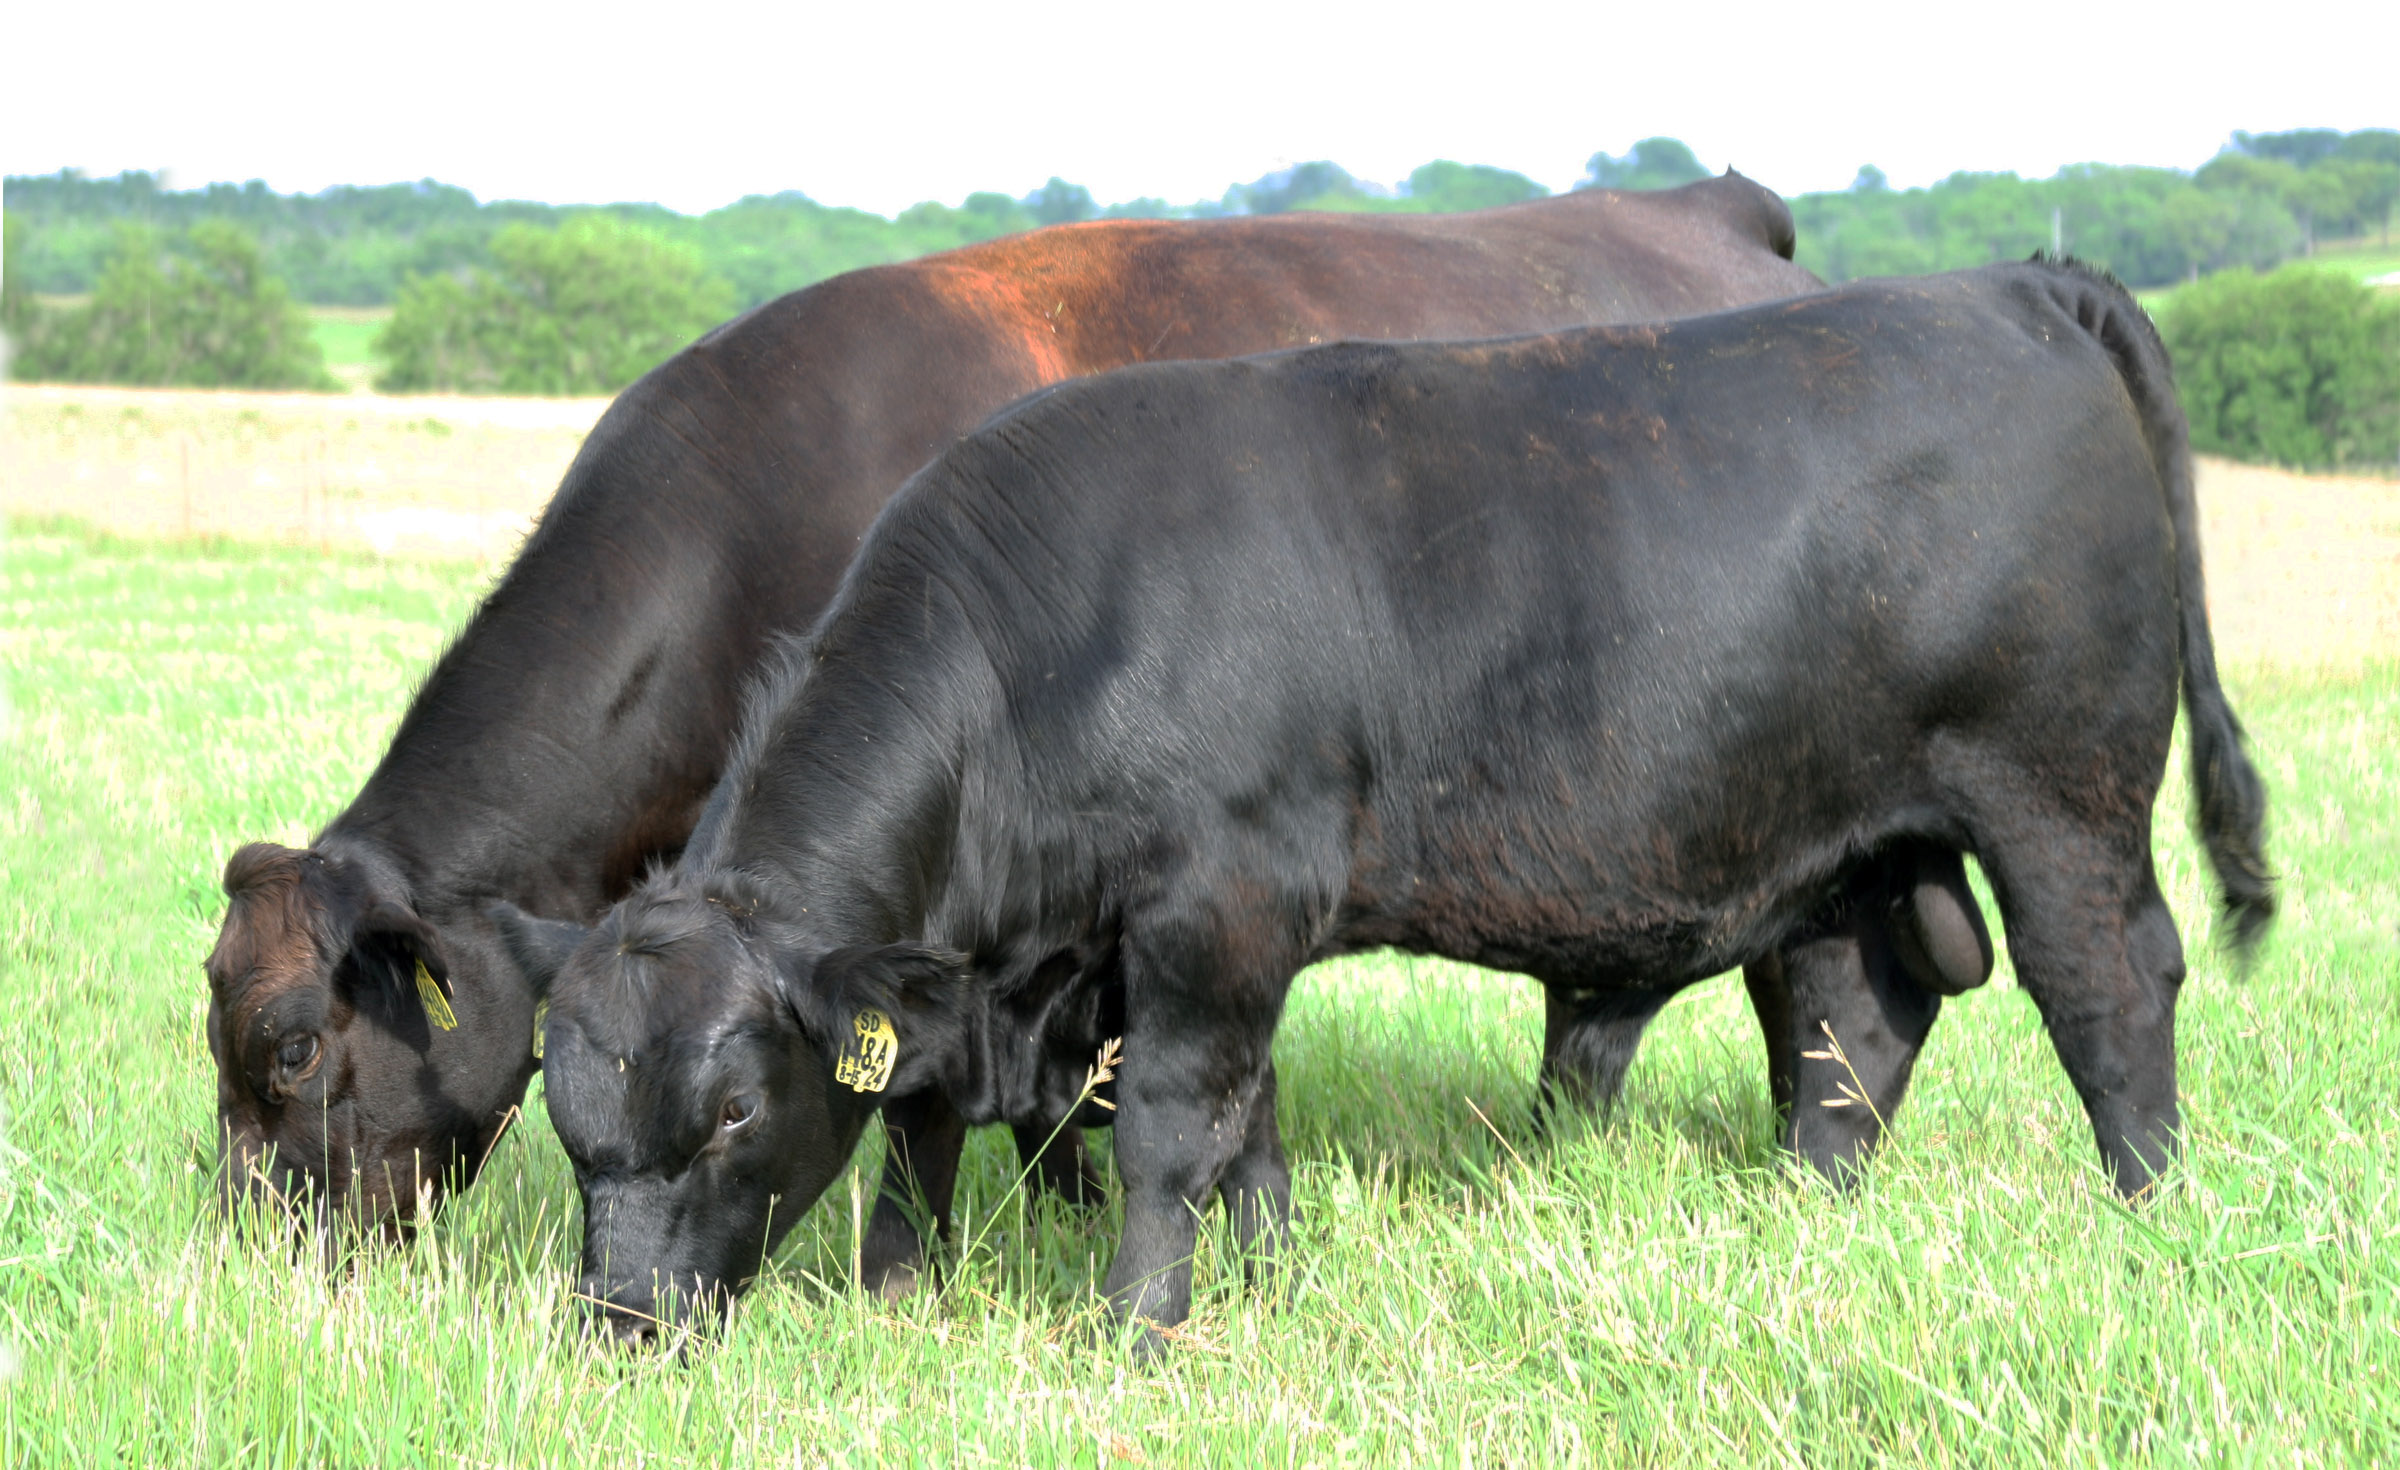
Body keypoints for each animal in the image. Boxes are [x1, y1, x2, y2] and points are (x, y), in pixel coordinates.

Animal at [200, 174, 1978, 1264]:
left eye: (295, 1043)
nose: (253, 1249)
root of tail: (1705, 208)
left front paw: (1064, 1225)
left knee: (1815, 974)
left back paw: (1801, 1168)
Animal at [502, 258, 2272, 1348]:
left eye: (736, 1110)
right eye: (565, 1115)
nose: (624, 1324)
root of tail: (2016, 284)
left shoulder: (1216, 907)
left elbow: (1173, 1129)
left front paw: (1137, 1324)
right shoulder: (1166, 945)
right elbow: (1231, 1131)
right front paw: (1244, 1283)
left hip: (2056, 788)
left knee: (2110, 980)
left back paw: (2145, 1206)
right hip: (1852, 840)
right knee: (1854, 1014)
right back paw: (1805, 1210)